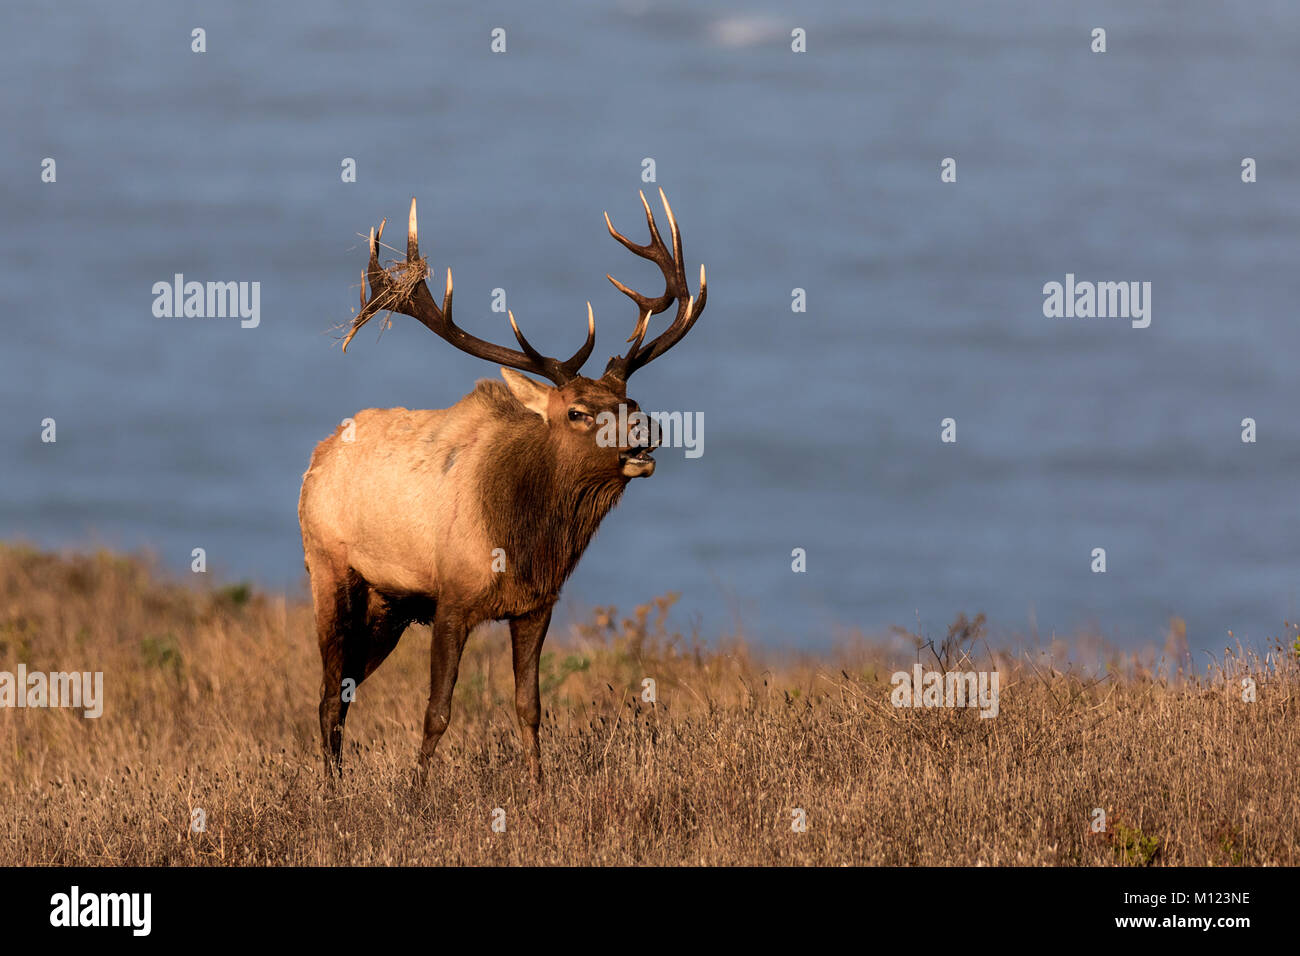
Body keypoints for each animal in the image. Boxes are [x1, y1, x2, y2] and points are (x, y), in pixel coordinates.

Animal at [298, 189, 706, 783]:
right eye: (578, 412)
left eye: (630, 401)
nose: (646, 433)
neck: (523, 542)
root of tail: (317, 457)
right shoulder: (452, 598)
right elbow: (437, 711)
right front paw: (418, 790)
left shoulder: (537, 605)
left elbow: (529, 706)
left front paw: (538, 787)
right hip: (330, 569)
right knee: (330, 694)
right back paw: (332, 788)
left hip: (387, 606)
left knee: (345, 689)